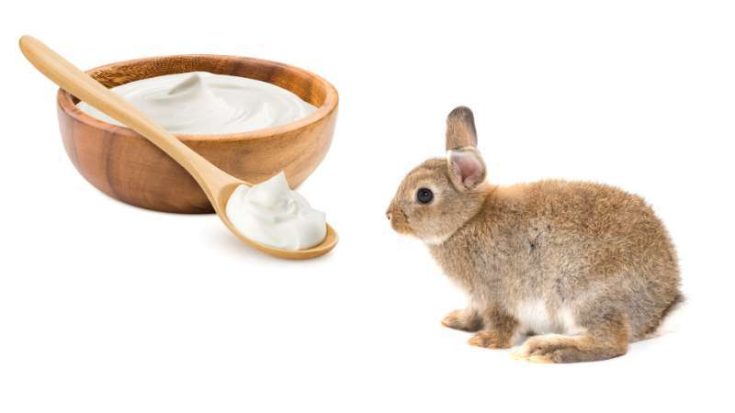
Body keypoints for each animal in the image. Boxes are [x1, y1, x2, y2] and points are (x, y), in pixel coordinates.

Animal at [386, 106, 682, 363]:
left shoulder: (496, 293)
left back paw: (544, 351)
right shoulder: (477, 298)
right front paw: (457, 321)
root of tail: (660, 308)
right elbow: (474, 312)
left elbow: (502, 322)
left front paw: (486, 341)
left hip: (581, 294)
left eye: (424, 195)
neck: (467, 220)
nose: (389, 216)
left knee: (612, 342)